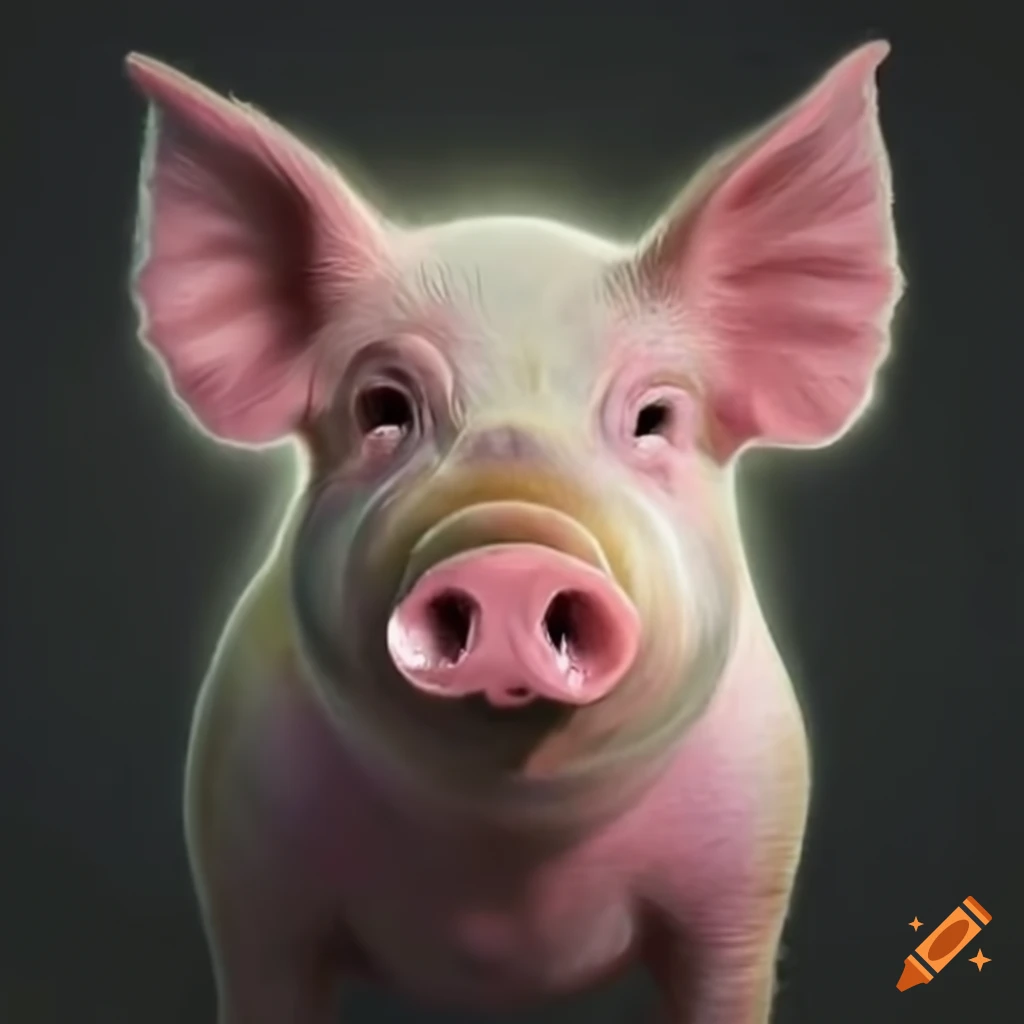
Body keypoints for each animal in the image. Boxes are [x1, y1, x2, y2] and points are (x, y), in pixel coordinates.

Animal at [124, 40, 903, 1024]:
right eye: (383, 407)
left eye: (654, 417)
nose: (511, 556)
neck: (505, 861)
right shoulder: (247, 872)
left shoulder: (750, 870)